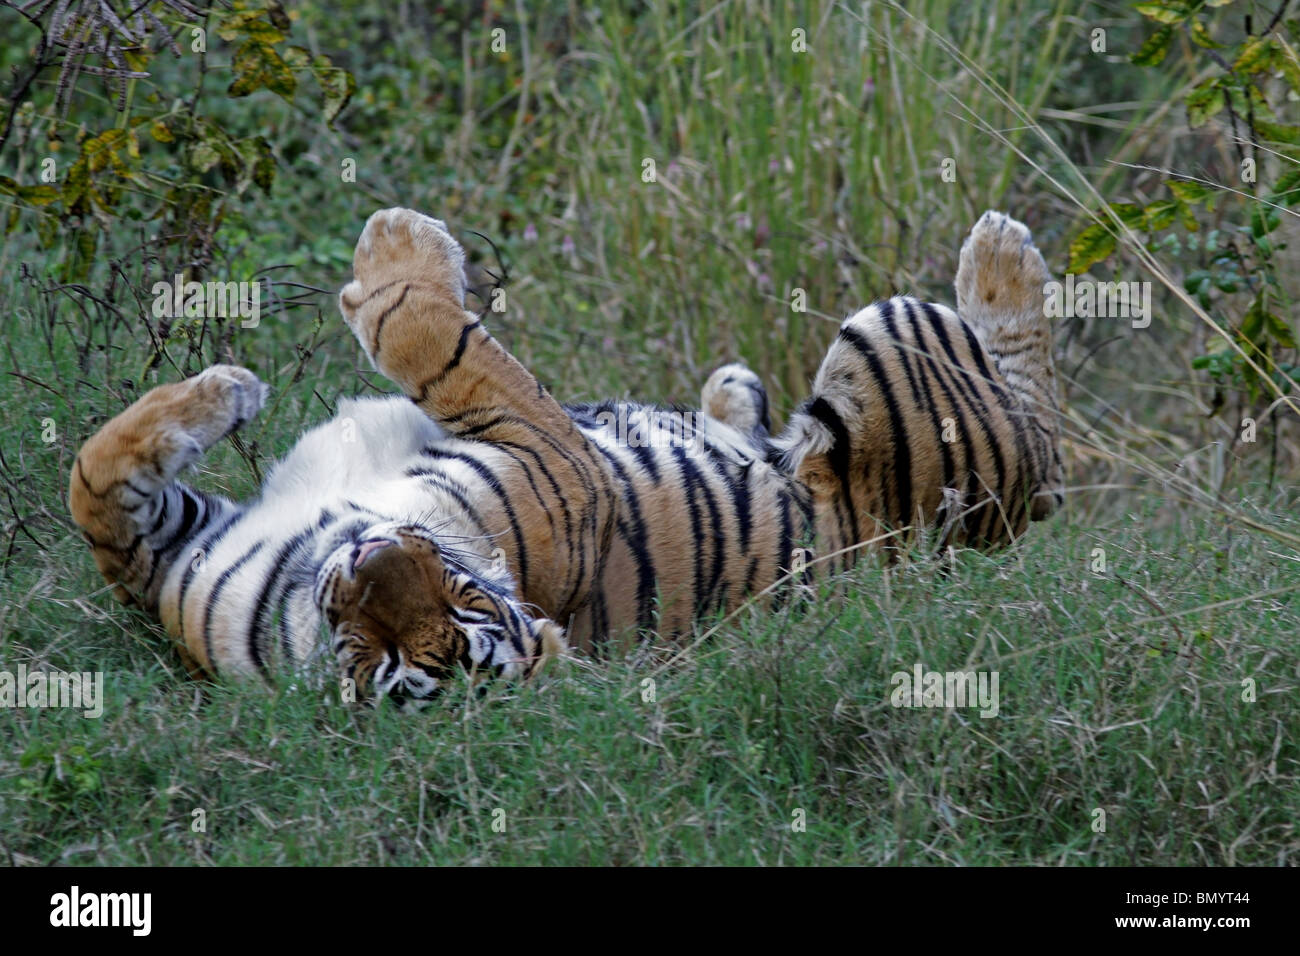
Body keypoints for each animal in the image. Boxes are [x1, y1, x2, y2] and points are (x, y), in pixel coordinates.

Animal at [68, 208, 1063, 706]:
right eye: (390, 663)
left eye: (466, 607)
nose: (378, 556)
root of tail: (979, 542)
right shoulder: (162, 560)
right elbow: (93, 479)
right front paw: (226, 389)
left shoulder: (552, 457)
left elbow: (432, 337)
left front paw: (393, 241)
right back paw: (733, 397)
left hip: (889, 334)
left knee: (1039, 415)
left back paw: (1001, 255)